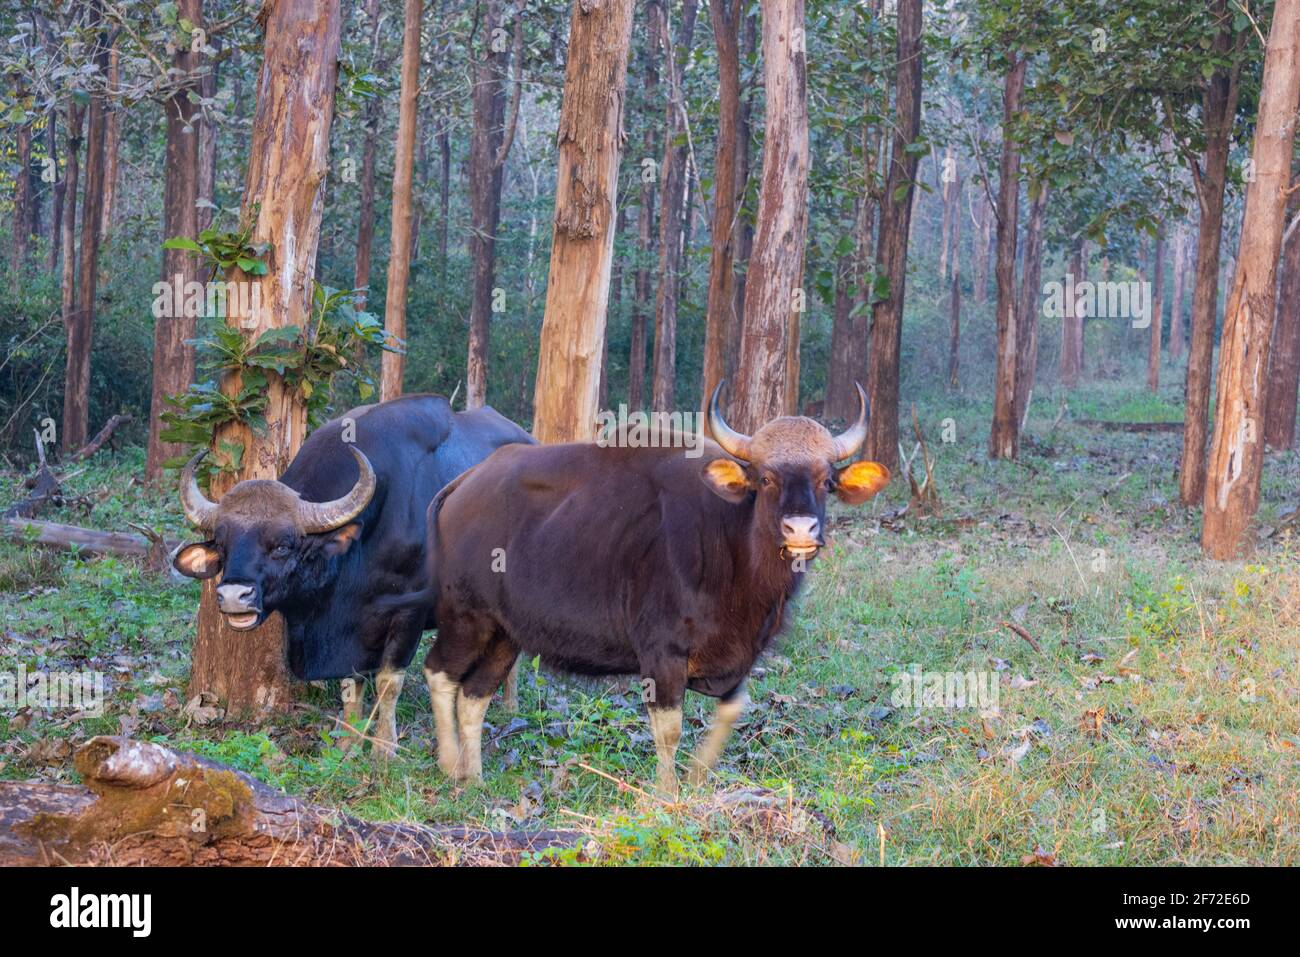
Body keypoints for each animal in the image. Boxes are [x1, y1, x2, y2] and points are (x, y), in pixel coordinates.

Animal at [172, 394, 533, 754]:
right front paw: (349, 740)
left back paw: (509, 705)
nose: (234, 596)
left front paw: (384, 747)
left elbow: (388, 682)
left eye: (283, 545)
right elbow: (351, 682)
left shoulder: (409, 612)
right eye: (223, 544)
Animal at [398, 383, 889, 794]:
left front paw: (697, 777)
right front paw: (668, 793)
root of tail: (461, 484)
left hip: (505, 633)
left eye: (826, 480)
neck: (732, 549)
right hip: (467, 618)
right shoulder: (661, 653)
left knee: (474, 695)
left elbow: (733, 711)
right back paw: (448, 763)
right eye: (765, 478)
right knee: (439, 672)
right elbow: (669, 730)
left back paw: (473, 777)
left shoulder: (737, 656)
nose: (801, 529)